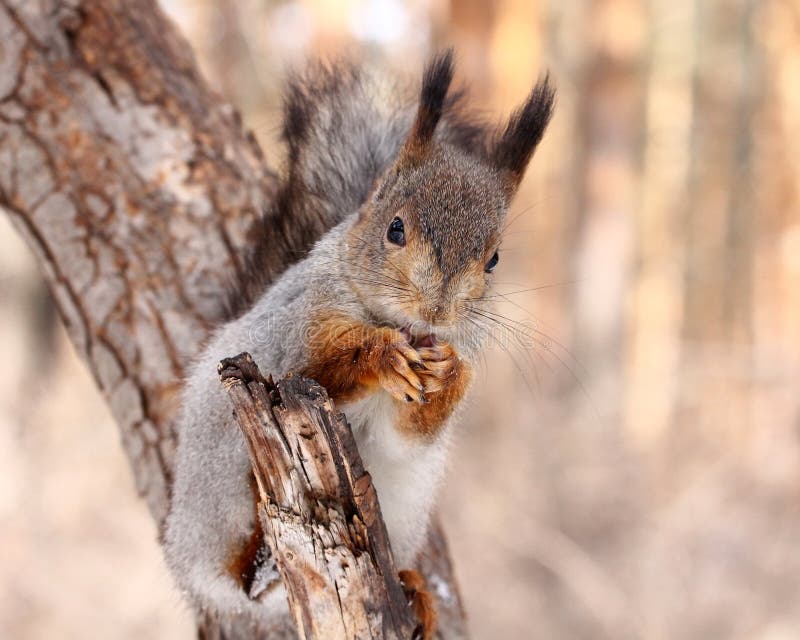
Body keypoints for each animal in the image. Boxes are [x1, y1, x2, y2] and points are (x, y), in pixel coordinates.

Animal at [164, 50, 554, 637]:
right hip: (219, 470)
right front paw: (382, 355)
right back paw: (258, 559)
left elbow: (408, 433)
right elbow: (317, 365)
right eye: (395, 229)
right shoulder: (297, 329)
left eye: (493, 259)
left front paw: (449, 374)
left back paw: (412, 590)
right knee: (237, 570)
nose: (436, 310)